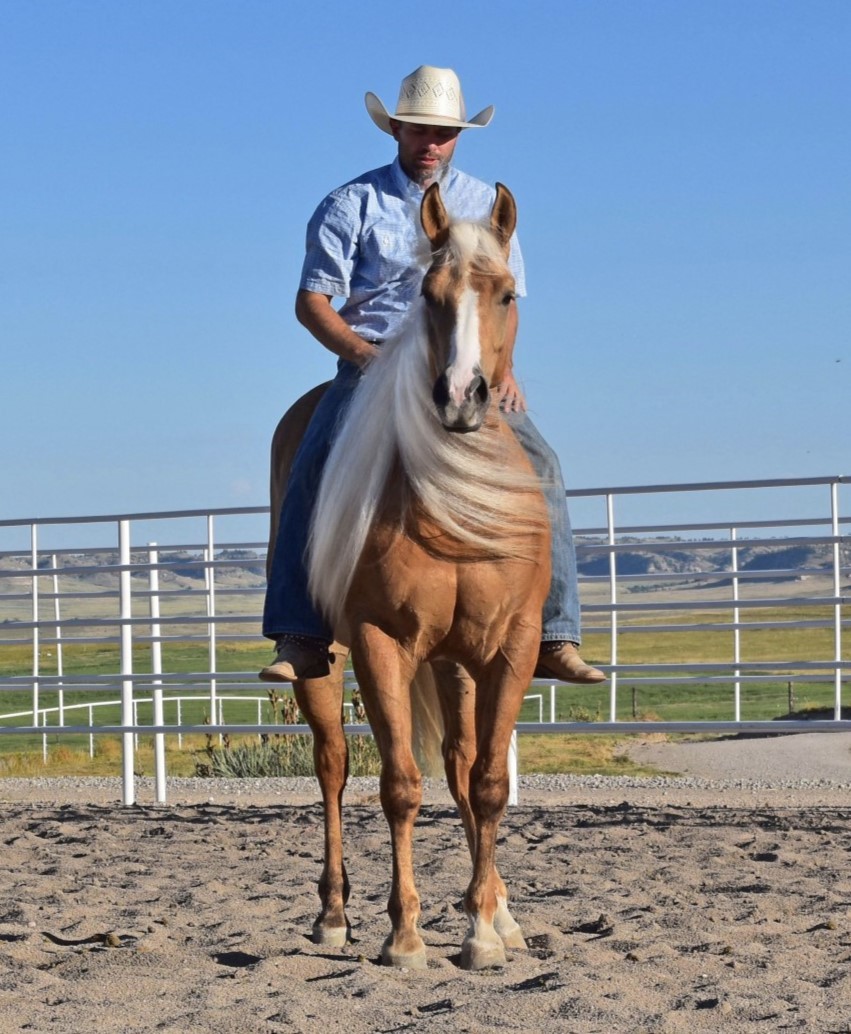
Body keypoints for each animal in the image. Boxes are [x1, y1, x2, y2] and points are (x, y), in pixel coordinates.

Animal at [267, 183, 551, 970]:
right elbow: (398, 786)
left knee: (459, 765)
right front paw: (404, 934)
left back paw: (499, 913)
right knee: (332, 764)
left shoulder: (511, 647)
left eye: (507, 293)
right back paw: (334, 915)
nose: (460, 396)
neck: (451, 503)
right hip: (326, 662)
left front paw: (485, 928)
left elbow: (487, 783)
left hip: (455, 664)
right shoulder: (379, 643)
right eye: (429, 295)